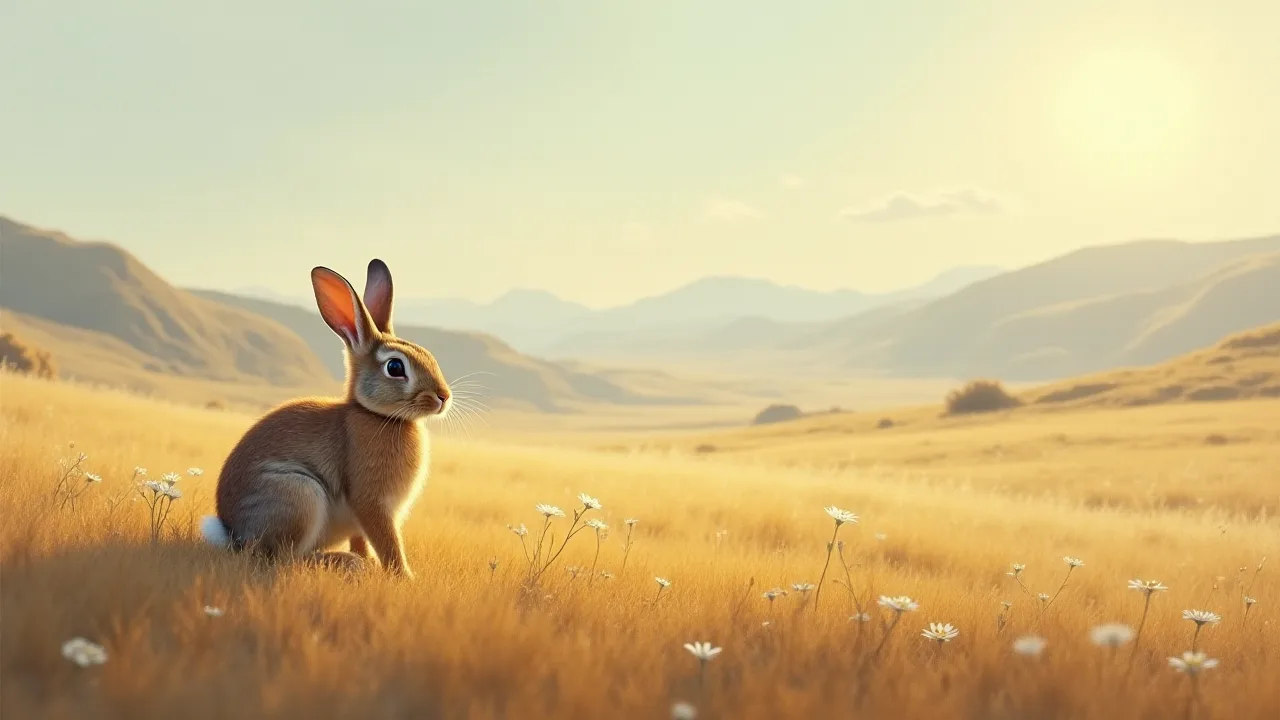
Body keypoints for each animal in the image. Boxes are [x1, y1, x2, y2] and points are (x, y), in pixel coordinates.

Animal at [199, 259, 450, 578]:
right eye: (395, 367)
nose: (443, 397)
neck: (377, 415)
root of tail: (233, 534)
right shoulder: (372, 503)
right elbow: (388, 543)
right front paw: (404, 578)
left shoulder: (363, 520)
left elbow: (362, 539)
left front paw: (372, 563)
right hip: (300, 495)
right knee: (284, 558)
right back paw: (342, 562)